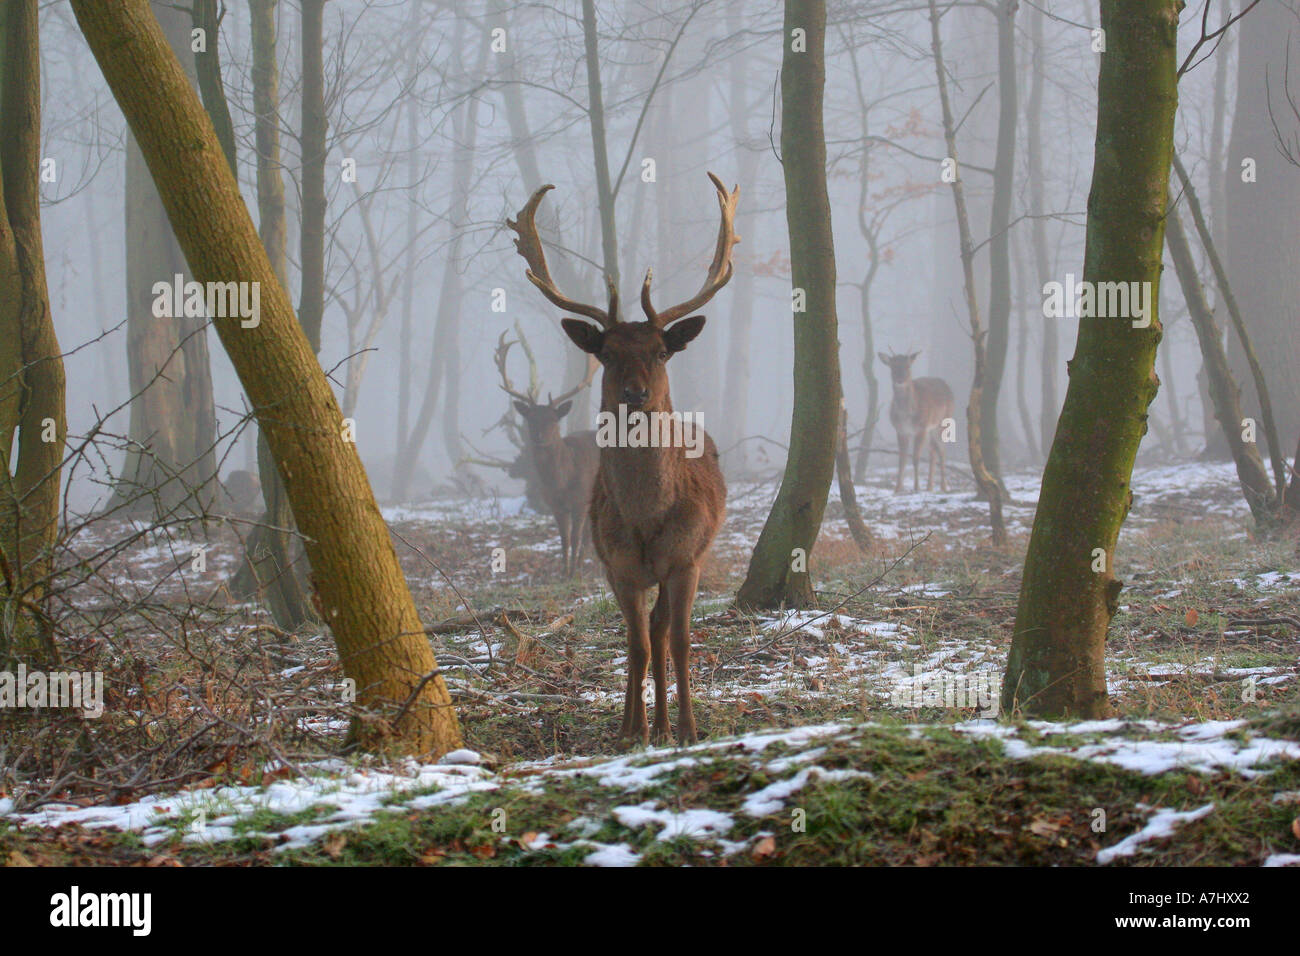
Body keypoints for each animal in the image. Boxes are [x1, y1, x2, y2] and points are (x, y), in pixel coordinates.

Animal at [495, 331, 600, 576]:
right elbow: (564, 540)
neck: (562, 481)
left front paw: (573, 573)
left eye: (553, 419)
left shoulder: (580, 500)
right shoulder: (555, 505)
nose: (539, 437)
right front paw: (565, 571)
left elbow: (575, 538)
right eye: (530, 418)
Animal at [507, 172, 738, 747]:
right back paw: (645, 722)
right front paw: (630, 730)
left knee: (662, 631)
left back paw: (666, 722)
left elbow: (679, 641)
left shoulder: (687, 559)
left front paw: (689, 729)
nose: (635, 393)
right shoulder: (619, 567)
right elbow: (635, 646)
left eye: (661, 351)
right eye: (607, 353)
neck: (647, 518)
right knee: (645, 636)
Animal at [878, 350, 955, 494]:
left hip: (942, 422)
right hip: (931, 430)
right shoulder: (901, 430)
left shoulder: (921, 428)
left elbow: (915, 458)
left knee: (942, 451)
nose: (900, 379)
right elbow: (902, 459)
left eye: (908, 366)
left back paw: (943, 486)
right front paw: (897, 488)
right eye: (892, 366)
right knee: (933, 451)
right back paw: (930, 486)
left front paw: (916, 487)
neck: (906, 414)